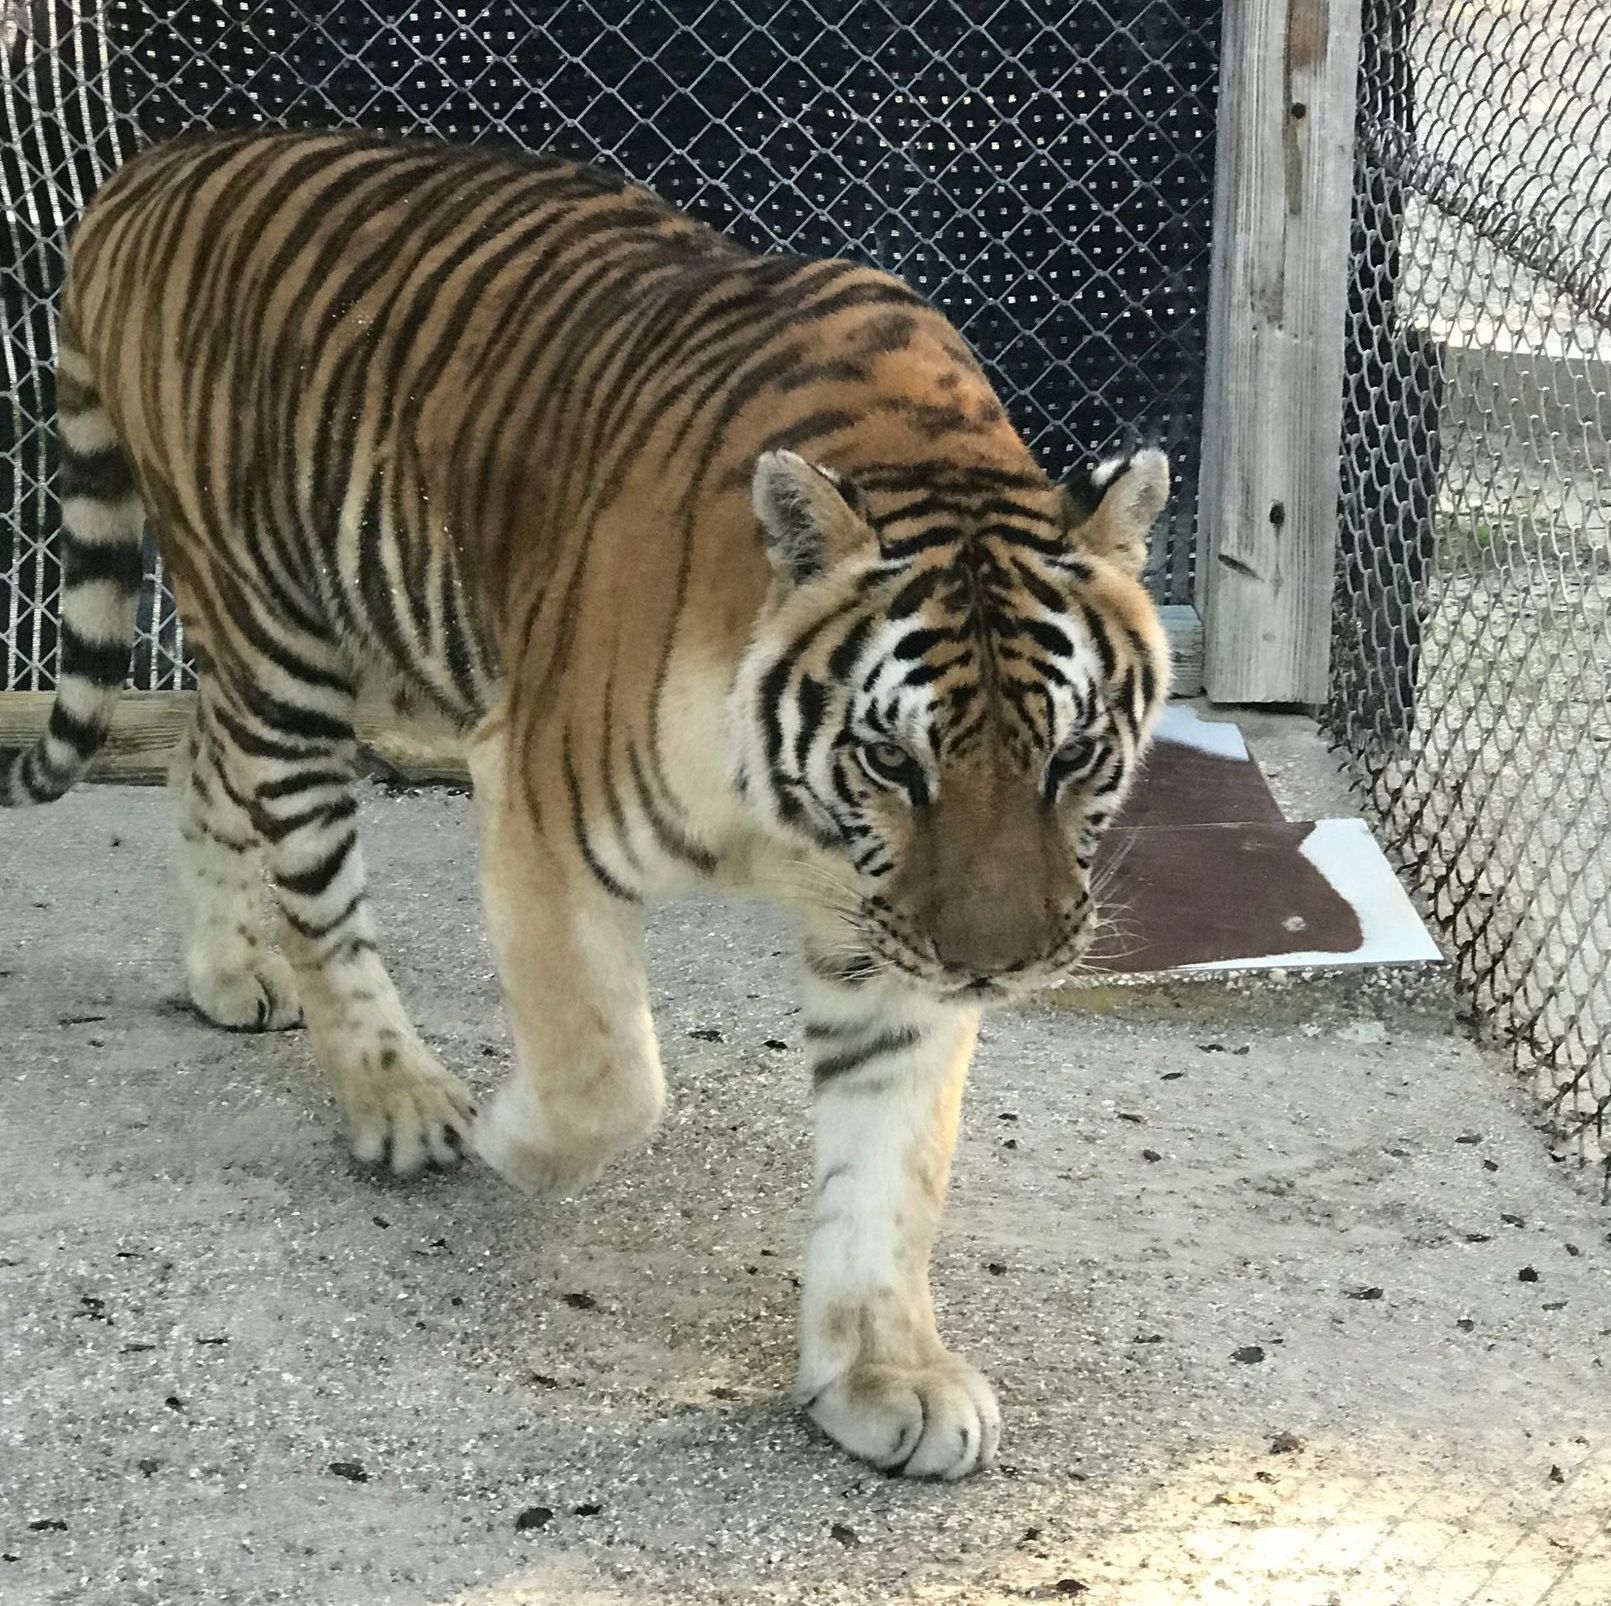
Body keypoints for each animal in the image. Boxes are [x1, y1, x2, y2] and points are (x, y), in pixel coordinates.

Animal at [1, 127, 1171, 1479]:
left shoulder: (888, 932)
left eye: (1071, 757)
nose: (995, 967)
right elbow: (609, 1075)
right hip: (285, 632)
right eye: (894, 762)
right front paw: (511, 1136)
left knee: (201, 755)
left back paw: (229, 971)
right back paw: (400, 1097)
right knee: (313, 881)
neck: (802, 824)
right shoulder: (538, 793)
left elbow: (890, 1166)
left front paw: (887, 1375)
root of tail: (151, 165)